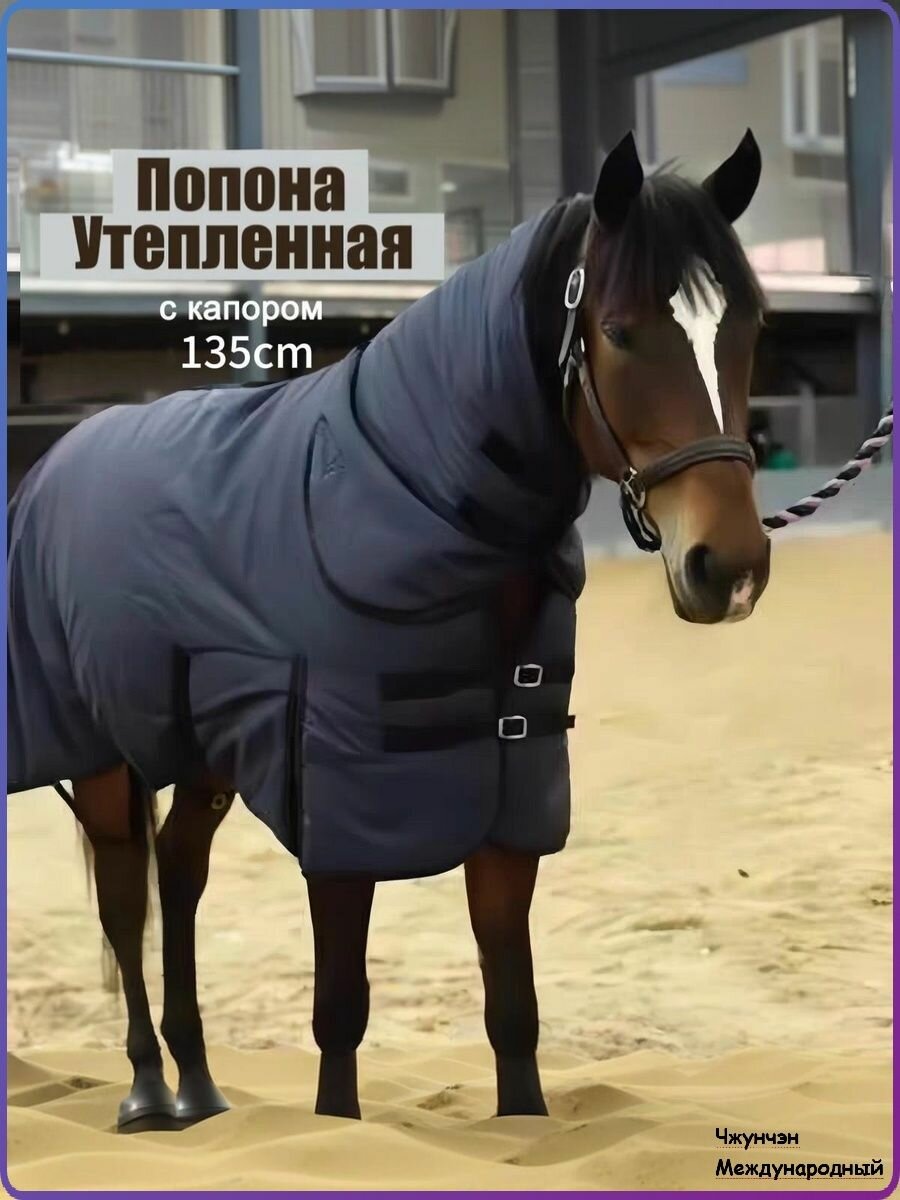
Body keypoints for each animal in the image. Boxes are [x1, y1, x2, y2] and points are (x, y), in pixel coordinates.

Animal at [6, 129, 770, 1130]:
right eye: (619, 330)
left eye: (749, 326)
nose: (731, 566)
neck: (412, 497)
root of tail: (61, 454)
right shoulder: (342, 806)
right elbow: (340, 1012)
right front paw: (331, 1126)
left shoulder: (507, 795)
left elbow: (513, 1007)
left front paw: (523, 1123)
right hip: (99, 750)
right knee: (127, 895)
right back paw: (144, 1089)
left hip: (206, 752)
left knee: (178, 874)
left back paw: (200, 1085)